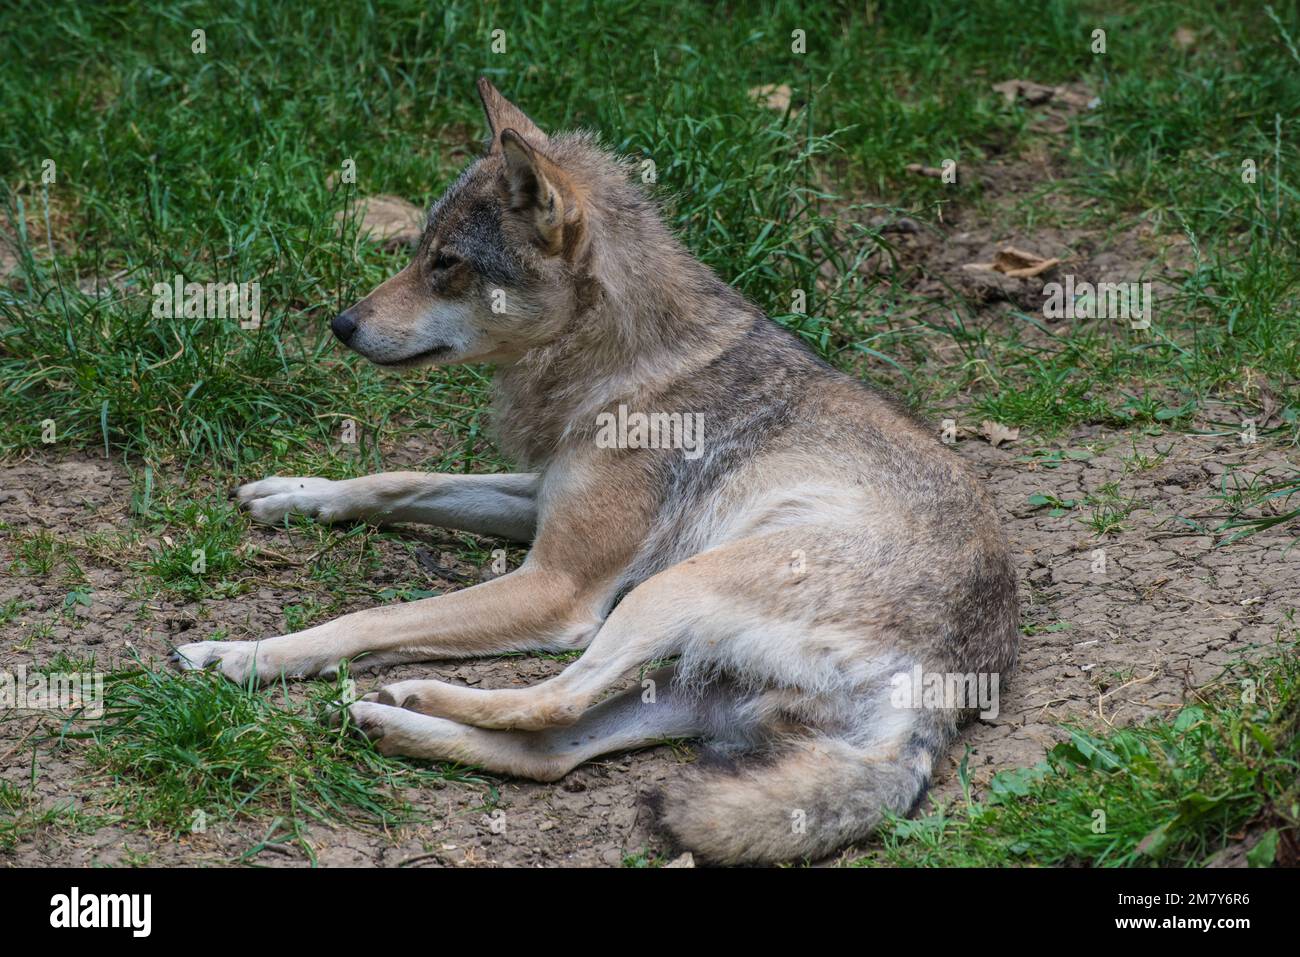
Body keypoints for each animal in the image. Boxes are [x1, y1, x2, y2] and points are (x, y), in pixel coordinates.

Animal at [174, 79, 1019, 865]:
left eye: (446, 264)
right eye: (418, 252)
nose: (340, 324)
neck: (623, 365)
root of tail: (943, 698)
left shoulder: (557, 586)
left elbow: (370, 618)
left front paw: (244, 654)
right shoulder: (540, 500)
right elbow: (399, 479)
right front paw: (293, 495)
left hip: (661, 595)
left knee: (550, 701)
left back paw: (406, 690)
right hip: (683, 687)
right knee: (552, 753)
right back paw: (392, 721)